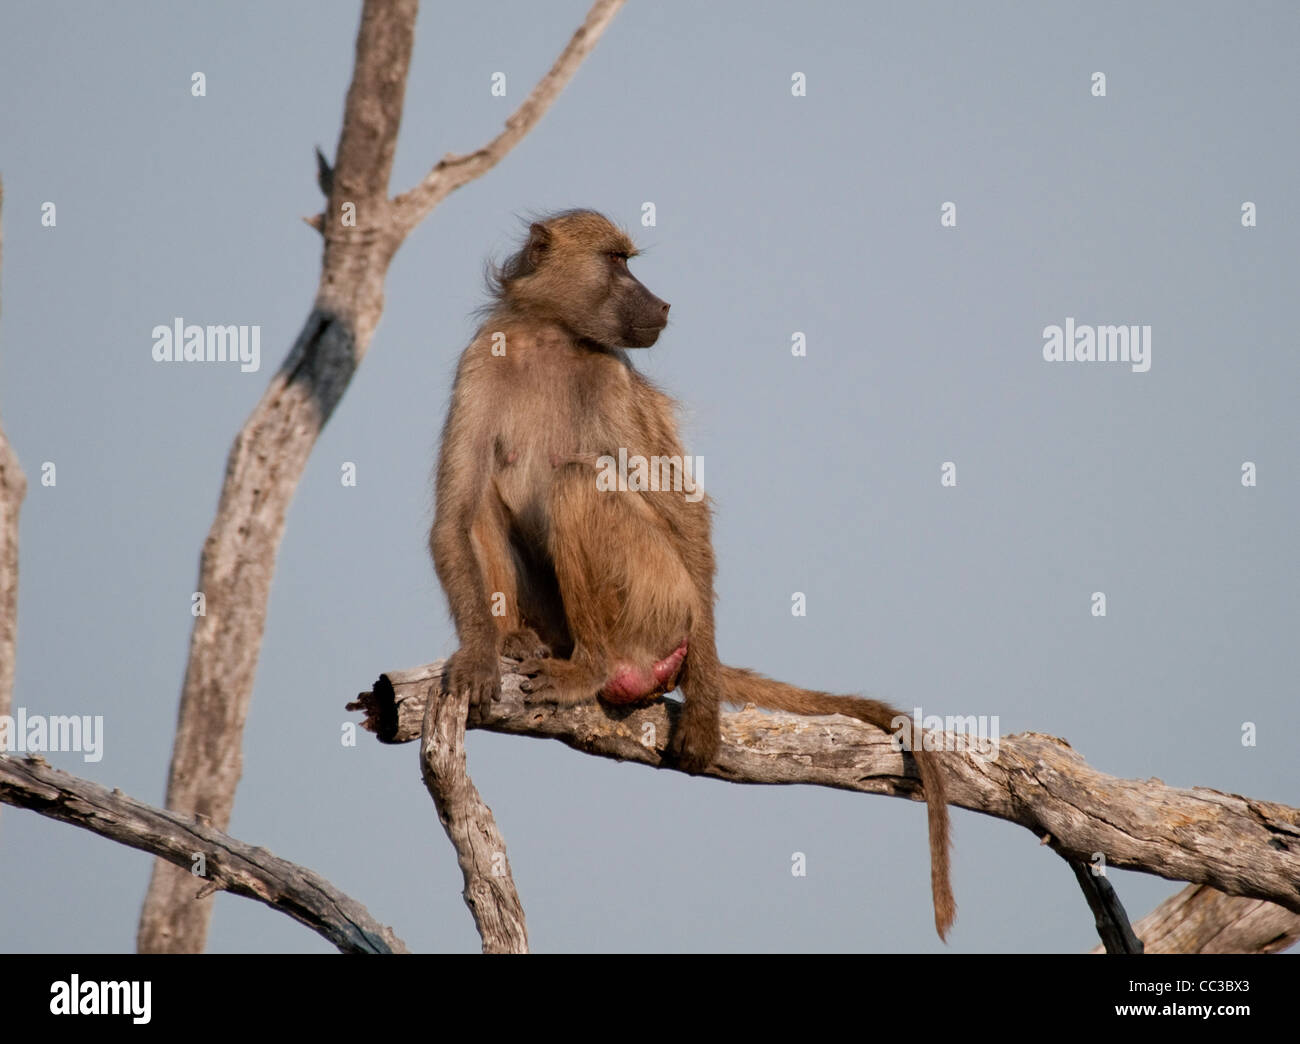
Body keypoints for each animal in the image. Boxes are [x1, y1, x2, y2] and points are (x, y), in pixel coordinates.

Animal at [429, 210, 955, 938]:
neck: (548, 337)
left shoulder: (614, 382)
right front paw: (481, 654)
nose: (663, 304)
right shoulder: (480, 360)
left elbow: (684, 510)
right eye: (617, 262)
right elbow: (454, 517)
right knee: (489, 499)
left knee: (578, 482)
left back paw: (590, 669)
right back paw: (519, 642)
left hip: (662, 599)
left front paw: (704, 710)